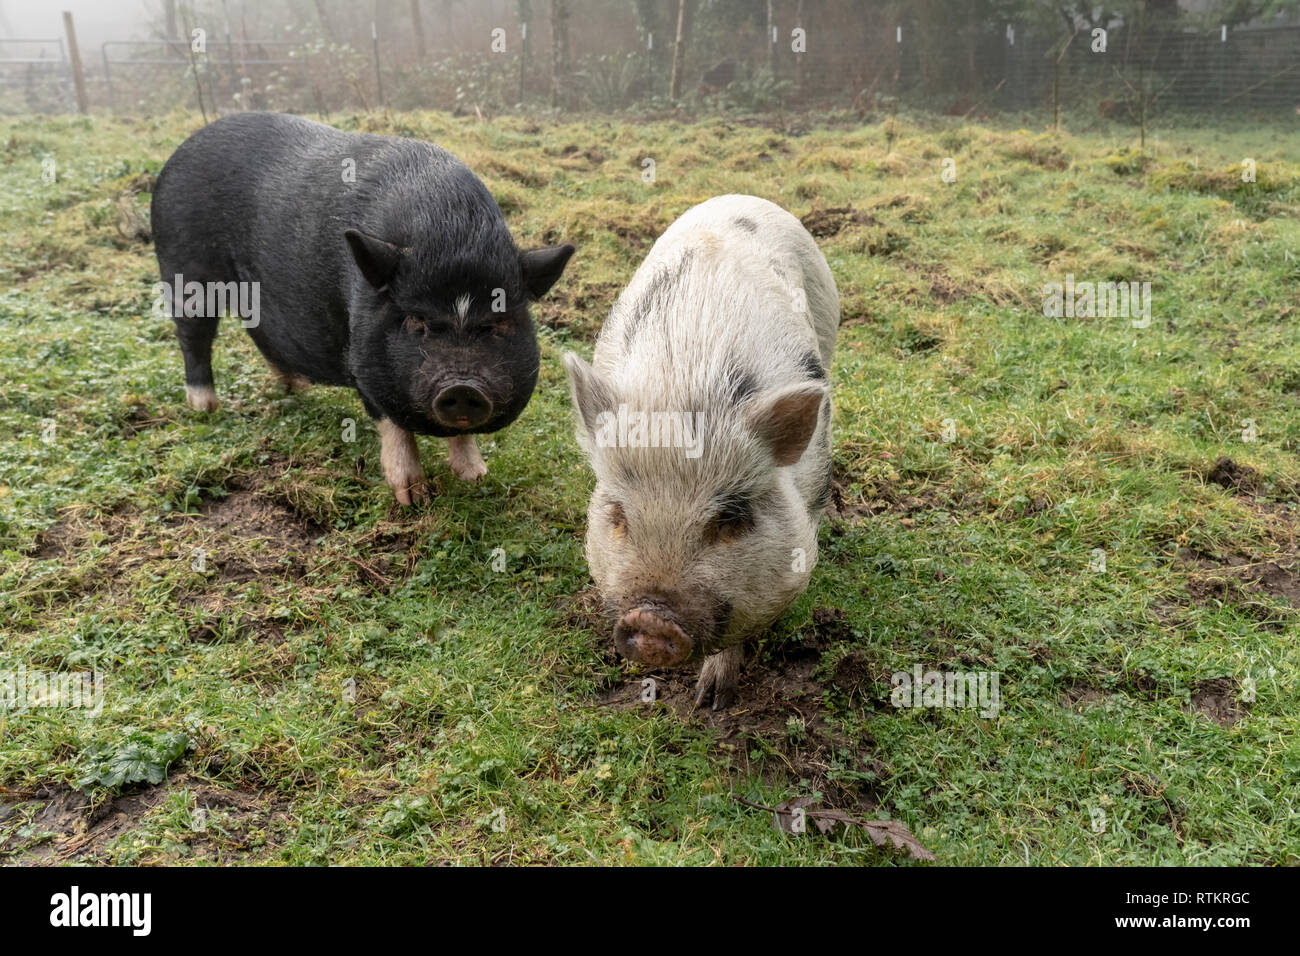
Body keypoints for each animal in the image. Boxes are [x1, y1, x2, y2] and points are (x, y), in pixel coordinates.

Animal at [151, 112, 574, 504]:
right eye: (416, 320)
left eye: (498, 323)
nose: (463, 385)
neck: (452, 233)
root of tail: (181, 150)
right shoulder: (362, 354)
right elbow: (391, 424)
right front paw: (412, 498)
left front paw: (476, 478)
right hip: (186, 270)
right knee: (193, 334)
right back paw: (205, 407)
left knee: (256, 329)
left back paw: (295, 386)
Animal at [563, 195, 839, 709]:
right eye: (618, 516)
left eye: (731, 519)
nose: (651, 620)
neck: (685, 385)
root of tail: (741, 196)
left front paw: (711, 700)